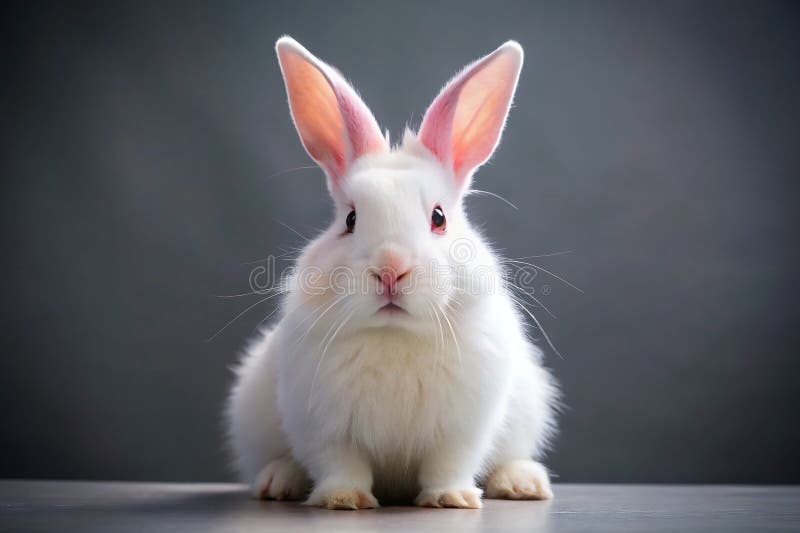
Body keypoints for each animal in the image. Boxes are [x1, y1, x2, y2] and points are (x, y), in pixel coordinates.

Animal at [225, 36, 559, 510]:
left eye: (439, 217)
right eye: (350, 219)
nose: (390, 270)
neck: (395, 334)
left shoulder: (462, 428)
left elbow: (447, 464)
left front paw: (451, 499)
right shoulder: (323, 425)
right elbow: (340, 463)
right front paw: (343, 500)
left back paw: (521, 484)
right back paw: (277, 482)